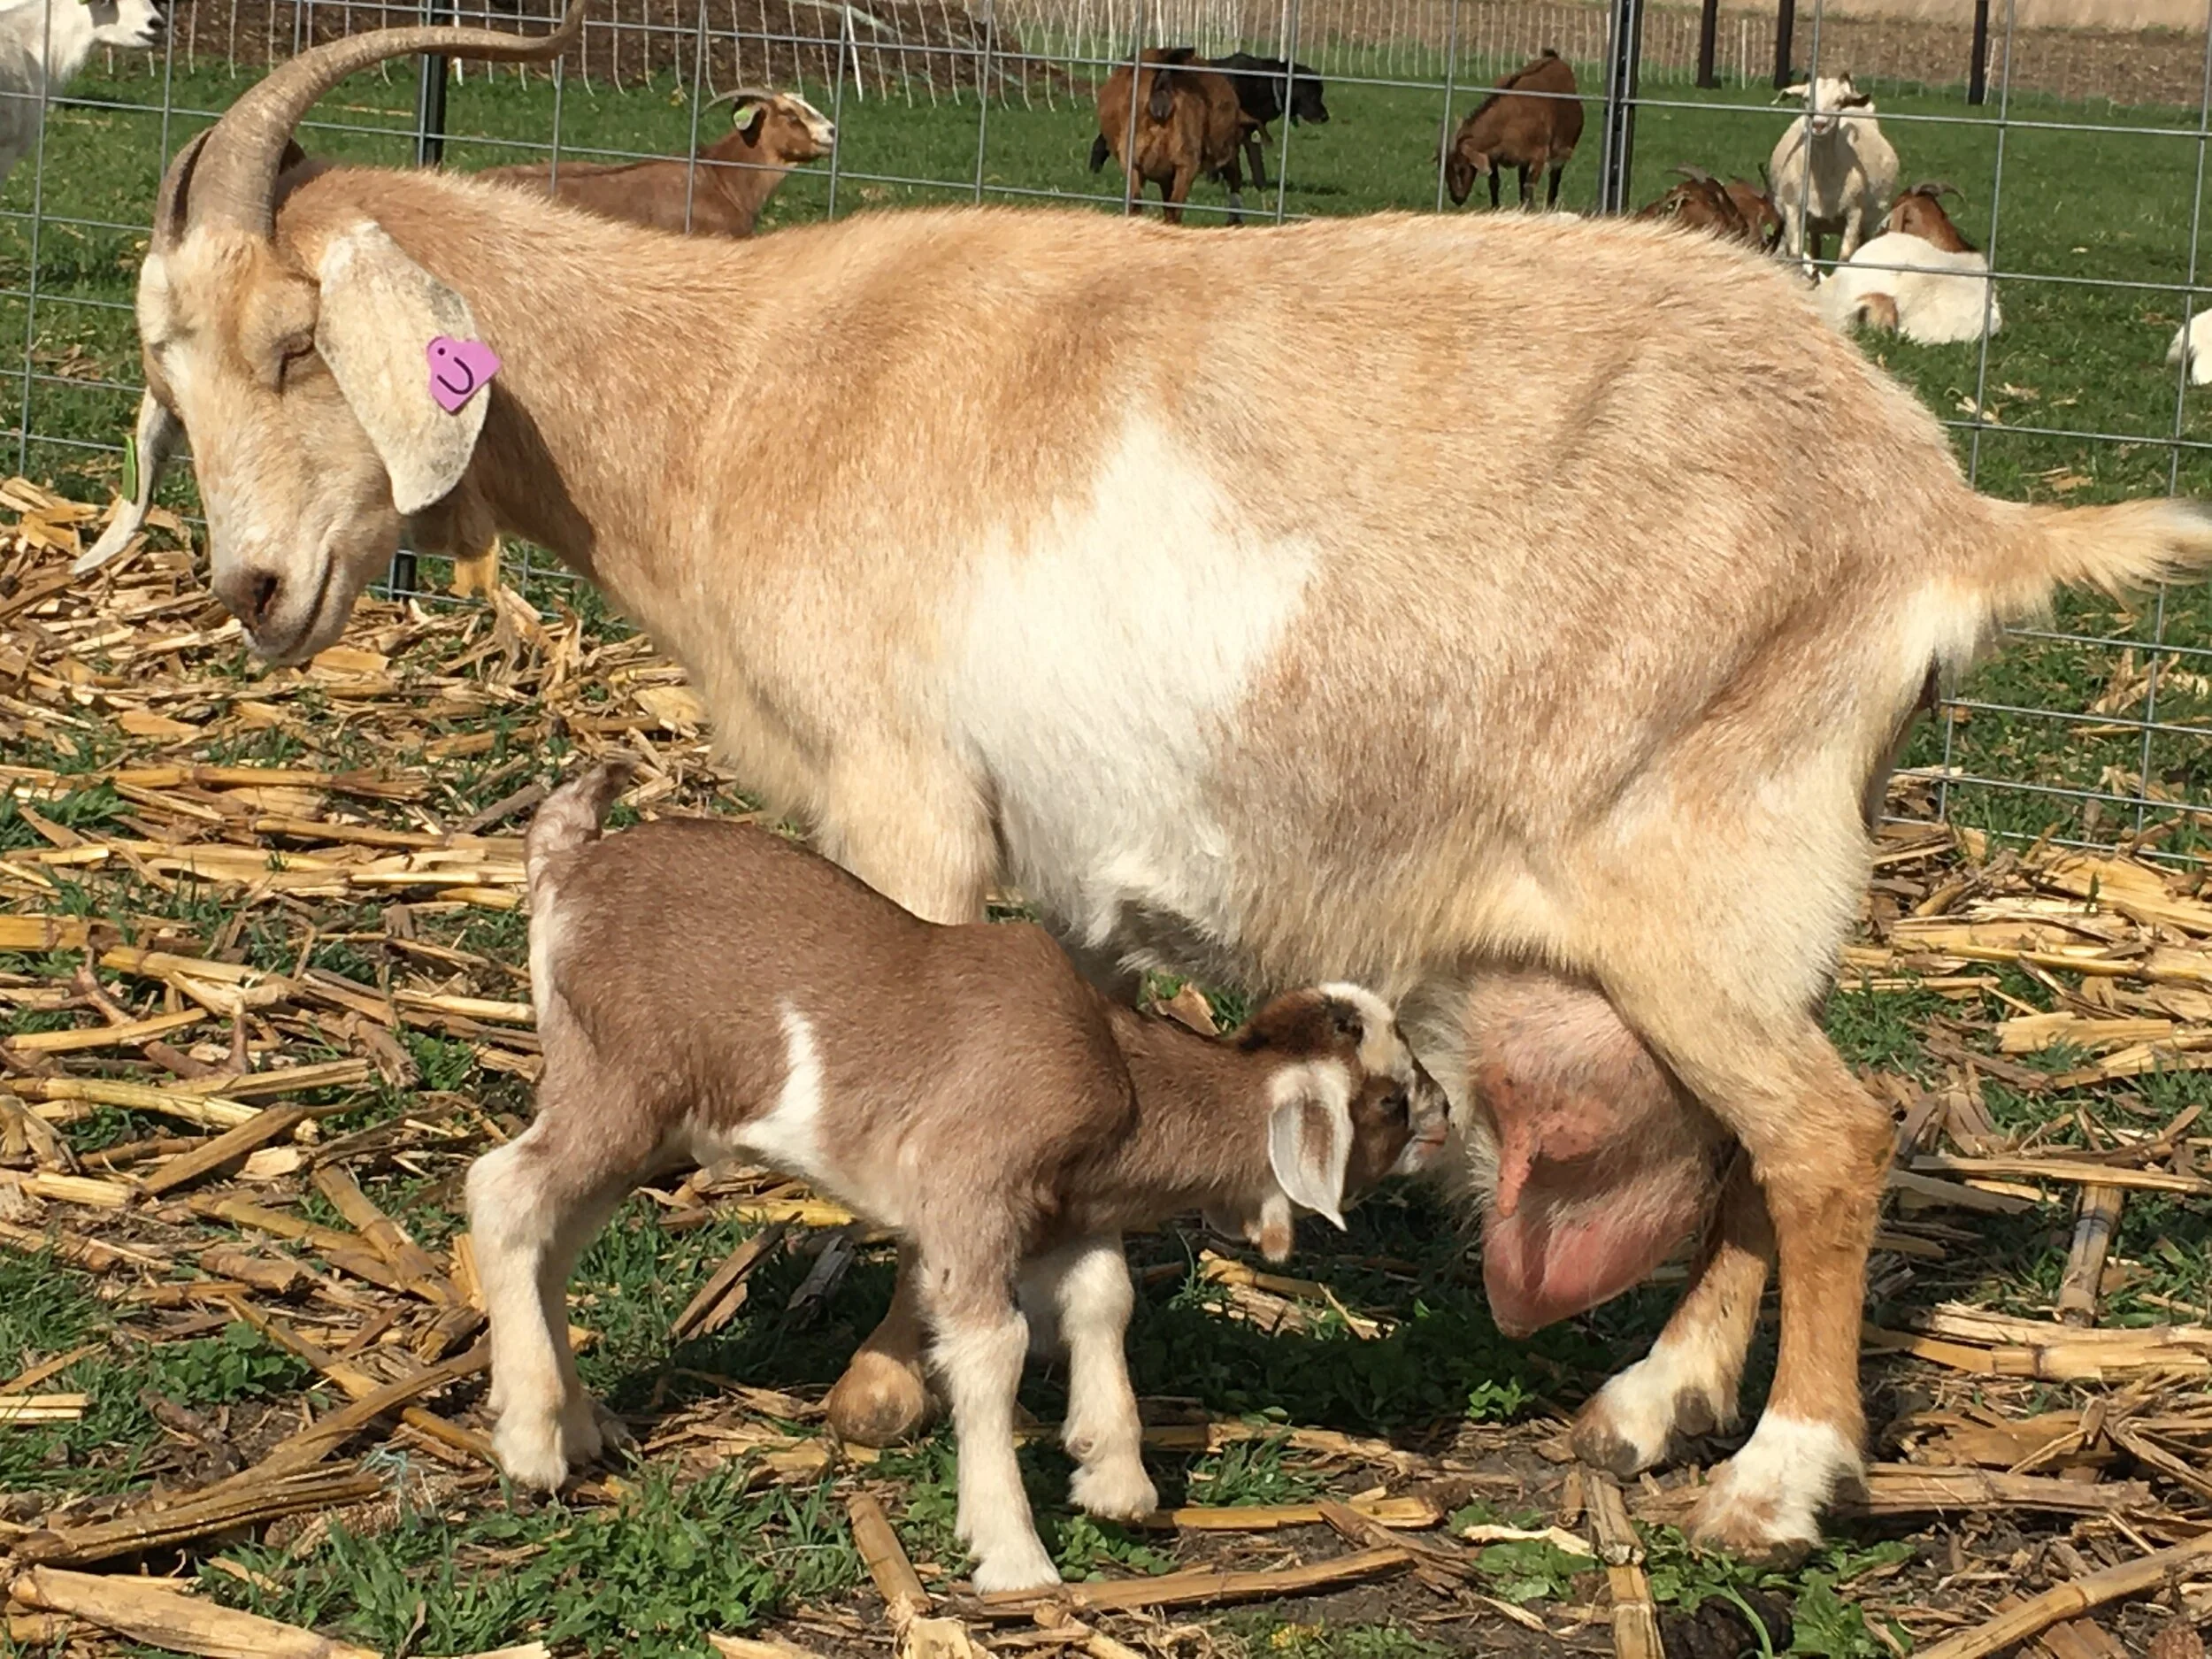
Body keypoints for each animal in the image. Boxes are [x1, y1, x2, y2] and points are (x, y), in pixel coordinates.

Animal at [470, 761, 1446, 1591]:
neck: (1119, 1074)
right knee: (504, 1191)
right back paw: (531, 1440)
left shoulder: (1068, 1211)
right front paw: (1012, 1553)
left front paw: (1114, 1477)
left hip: (632, 1109)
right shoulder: (969, 1196)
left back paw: (580, 1422)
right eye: (1389, 1101)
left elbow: (1105, 1302)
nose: (1443, 1115)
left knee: (551, 1235)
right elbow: (993, 1345)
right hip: (621, 1079)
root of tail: (567, 863)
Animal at [1208, 51, 1328, 194]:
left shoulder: (1251, 131)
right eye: (1312, 94)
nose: (1325, 117)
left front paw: (1261, 187)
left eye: (1320, 92)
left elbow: (1256, 162)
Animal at [1444, 49, 1583, 211]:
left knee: (1555, 176)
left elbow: (1529, 186)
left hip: (1563, 147)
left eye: (1459, 168)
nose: (1457, 198)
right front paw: (1495, 209)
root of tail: (1554, 58)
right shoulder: (1493, 156)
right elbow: (1495, 183)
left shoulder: (1539, 155)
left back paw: (1549, 206)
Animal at [1768, 73, 1898, 267]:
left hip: (1871, 221)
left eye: (1839, 101)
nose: (1819, 125)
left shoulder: (1854, 213)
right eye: (1806, 98)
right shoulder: (1793, 208)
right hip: (1814, 224)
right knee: (1815, 254)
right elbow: (1797, 255)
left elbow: (1844, 258)